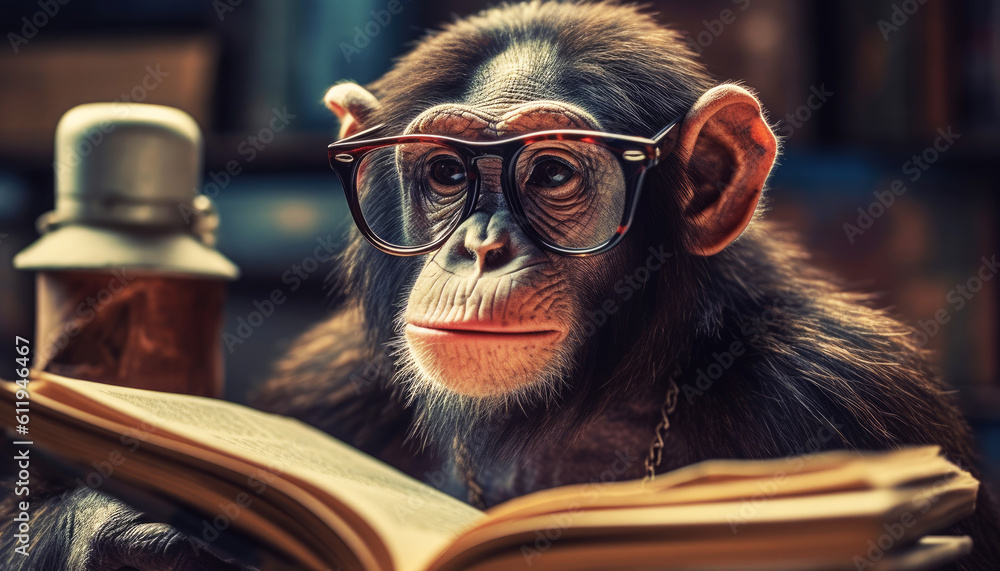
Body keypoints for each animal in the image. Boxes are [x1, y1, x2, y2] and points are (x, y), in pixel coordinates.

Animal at [2, 2, 999, 570]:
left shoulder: (852, 399)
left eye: (552, 173)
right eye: (446, 173)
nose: (481, 247)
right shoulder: (324, 384)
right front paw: (116, 532)